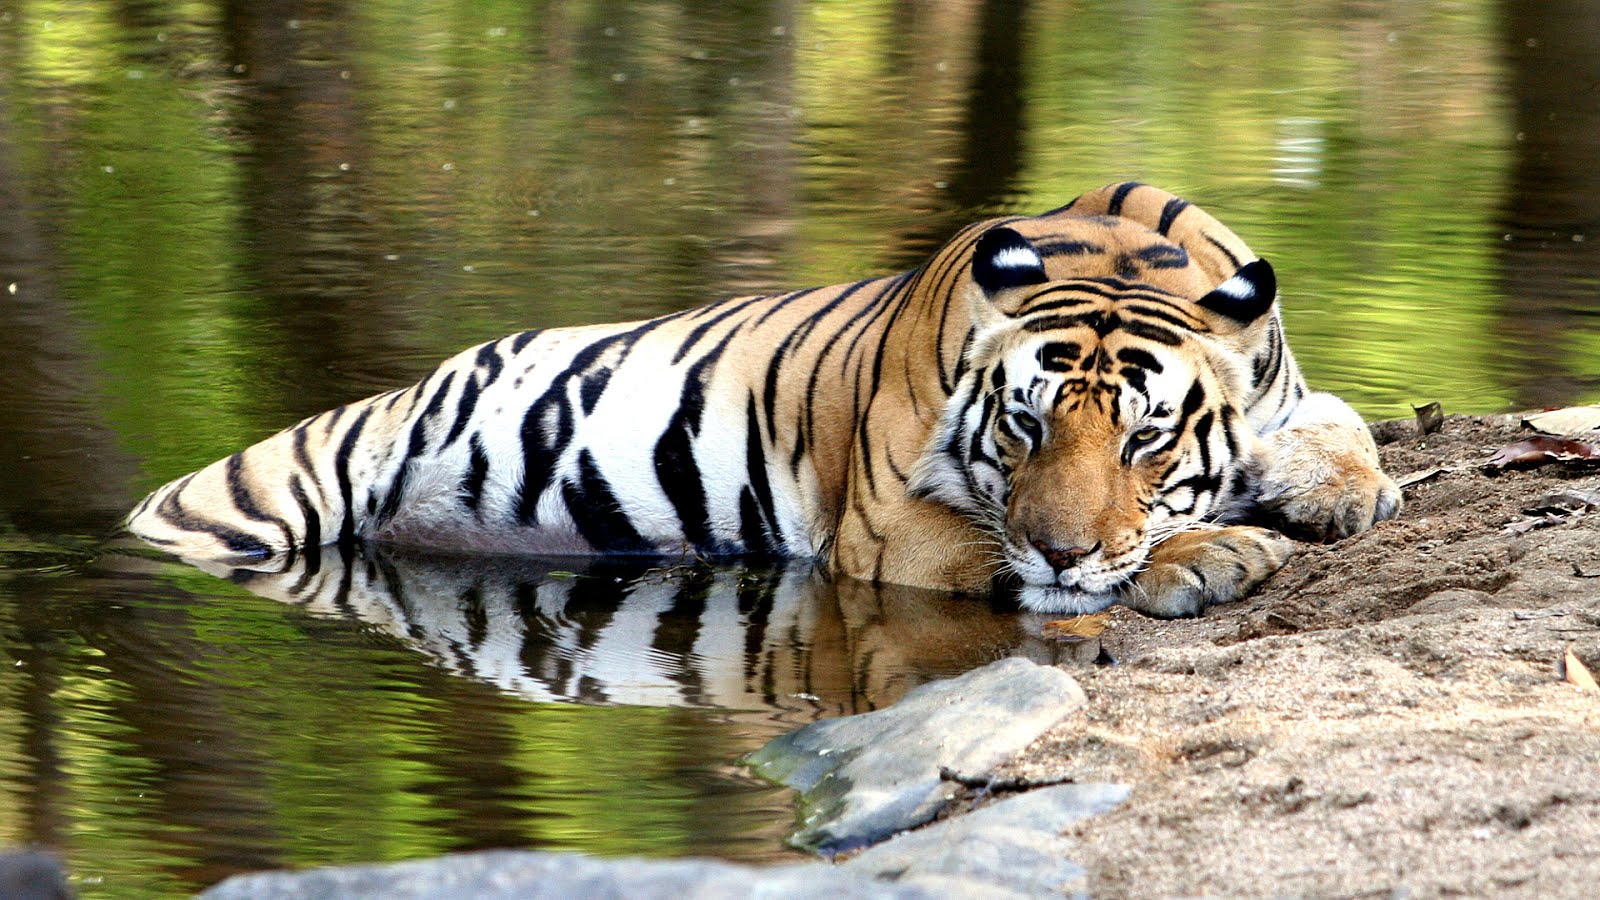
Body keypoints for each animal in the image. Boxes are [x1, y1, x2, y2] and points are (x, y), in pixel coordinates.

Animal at [125, 182, 1402, 618]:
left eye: (1144, 442)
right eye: (1025, 425)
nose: (1060, 548)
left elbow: (1337, 418)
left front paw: (1347, 492)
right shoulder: (883, 529)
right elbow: (1014, 555)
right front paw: (1207, 555)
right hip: (248, 501)